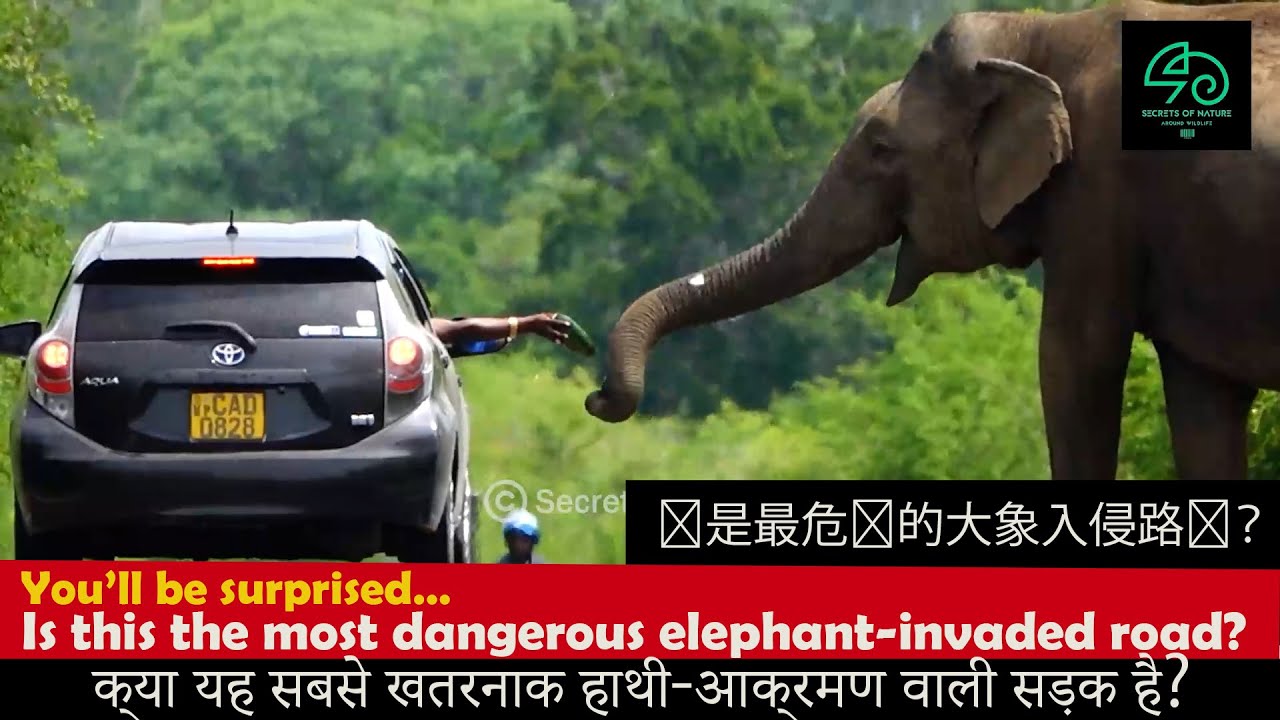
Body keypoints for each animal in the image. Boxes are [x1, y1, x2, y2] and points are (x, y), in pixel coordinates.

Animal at [584, 0, 1280, 480]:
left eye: (881, 149)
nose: (597, 396)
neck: (1041, 32)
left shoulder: (1098, 190)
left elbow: (1076, 359)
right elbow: (1202, 397)